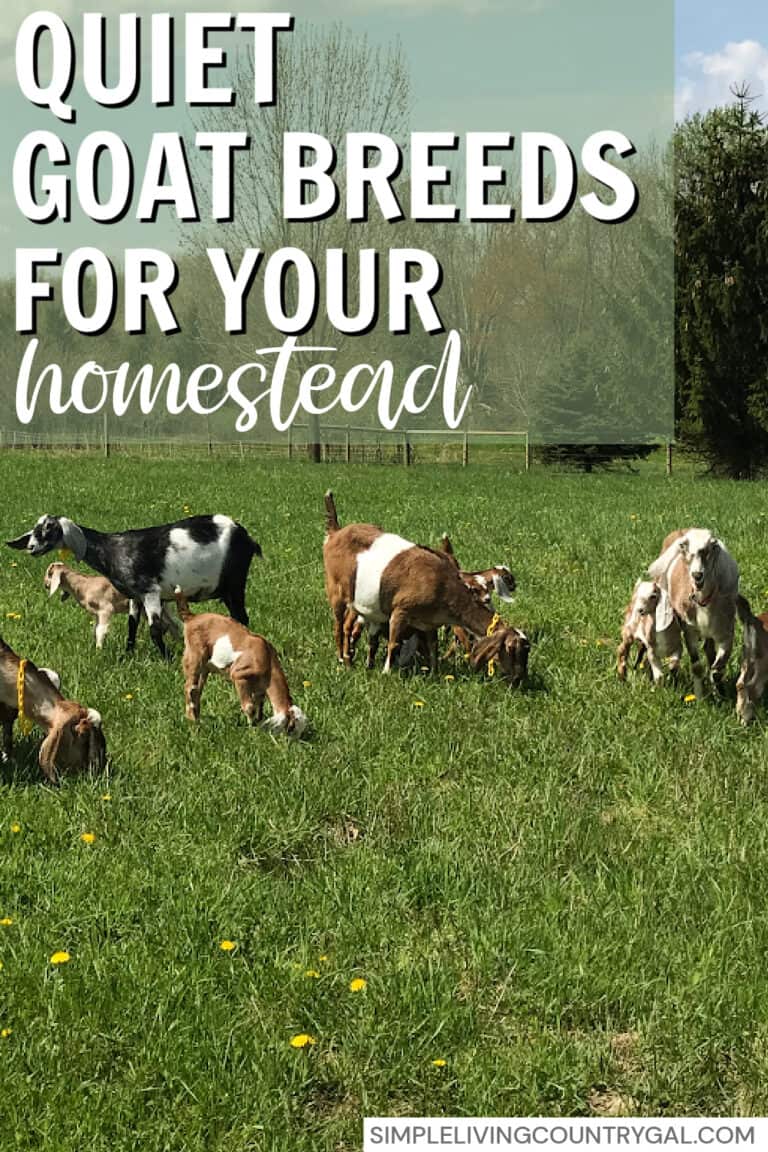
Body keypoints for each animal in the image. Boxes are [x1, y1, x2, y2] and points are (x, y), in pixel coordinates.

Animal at [8, 514, 261, 659]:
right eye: (36, 528)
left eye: (49, 528)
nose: (31, 547)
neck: (113, 549)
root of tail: (248, 539)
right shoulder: (135, 595)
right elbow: (132, 625)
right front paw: (127, 655)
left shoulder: (150, 592)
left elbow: (154, 630)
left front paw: (167, 660)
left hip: (234, 584)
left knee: (242, 618)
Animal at [175, 593, 307, 736]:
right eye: (291, 727)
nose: (291, 741)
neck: (267, 659)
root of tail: (191, 617)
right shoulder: (239, 676)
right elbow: (249, 707)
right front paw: (251, 730)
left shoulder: (259, 689)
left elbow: (259, 706)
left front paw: (258, 724)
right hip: (194, 656)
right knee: (189, 688)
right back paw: (192, 721)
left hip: (205, 667)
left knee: (196, 691)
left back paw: (197, 719)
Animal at [323, 491, 528, 682]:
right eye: (512, 650)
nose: (519, 679)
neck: (443, 585)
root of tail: (335, 533)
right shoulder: (400, 611)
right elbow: (393, 643)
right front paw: (386, 672)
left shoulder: (430, 622)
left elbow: (433, 647)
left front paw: (434, 672)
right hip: (336, 591)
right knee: (339, 625)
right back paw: (342, 658)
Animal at [648, 528, 739, 698]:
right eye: (686, 549)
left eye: (709, 548)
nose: (697, 575)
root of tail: (682, 529)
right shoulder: (689, 631)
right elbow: (697, 667)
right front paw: (700, 698)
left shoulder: (726, 632)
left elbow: (717, 669)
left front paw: (720, 694)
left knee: (710, 653)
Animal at [735, 596, 768, 725]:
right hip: (762, 663)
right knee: (752, 687)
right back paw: (748, 717)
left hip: (747, 659)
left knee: (740, 684)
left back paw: (740, 715)